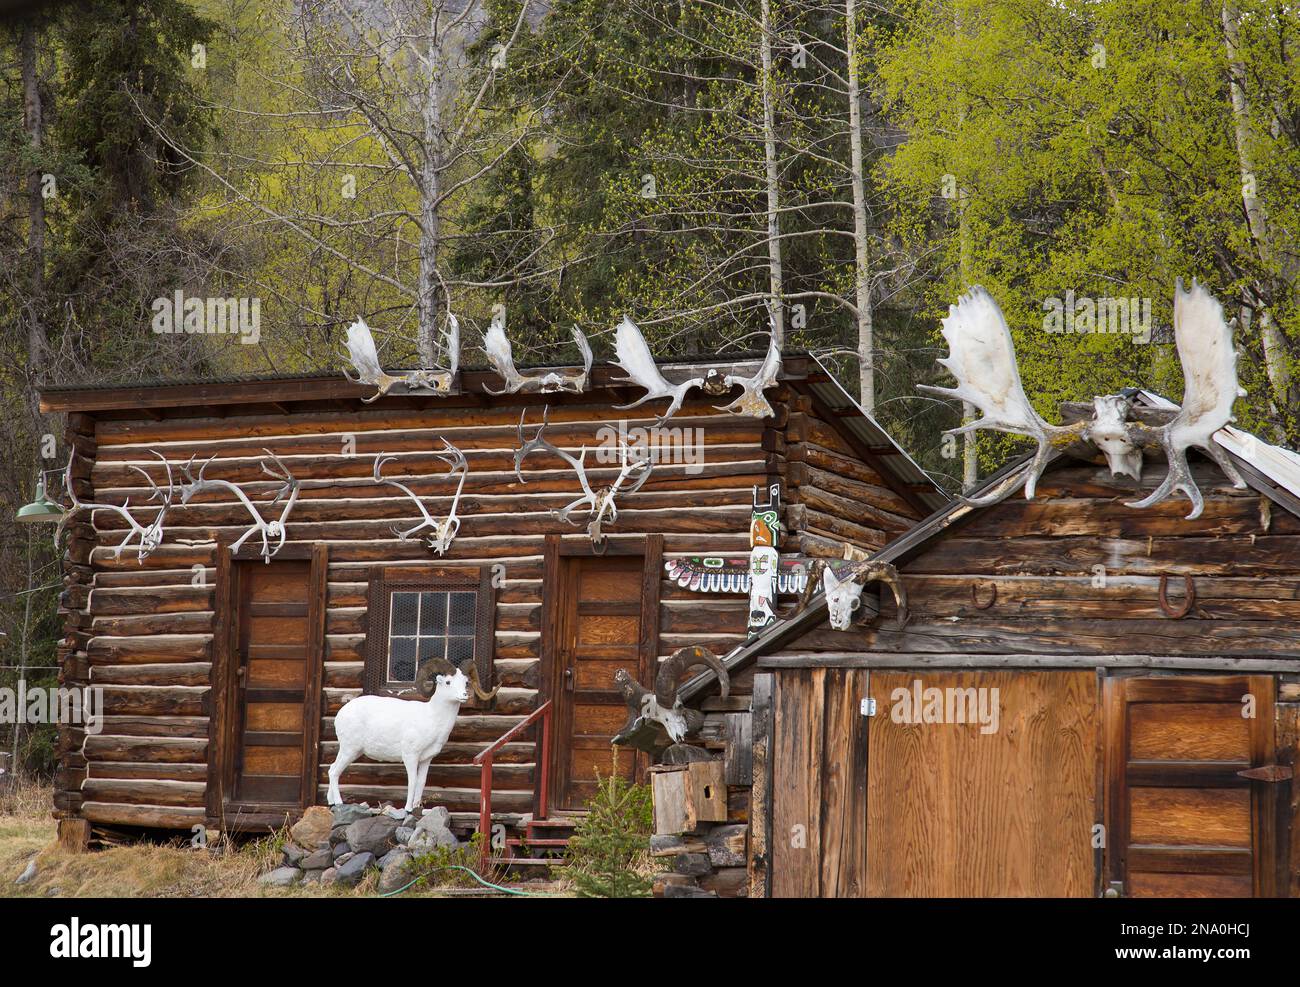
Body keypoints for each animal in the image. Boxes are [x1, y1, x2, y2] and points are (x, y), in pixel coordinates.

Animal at [327, 657, 498, 817]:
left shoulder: (426, 759)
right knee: (335, 772)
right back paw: (339, 803)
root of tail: (341, 714)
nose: (464, 695)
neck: (432, 718)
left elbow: (421, 782)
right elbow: (412, 781)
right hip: (350, 750)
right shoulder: (410, 756)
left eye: (465, 682)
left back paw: (330, 803)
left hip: (350, 751)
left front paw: (417, 809)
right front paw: (408, 809)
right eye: (448, 682)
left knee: (331, 769)